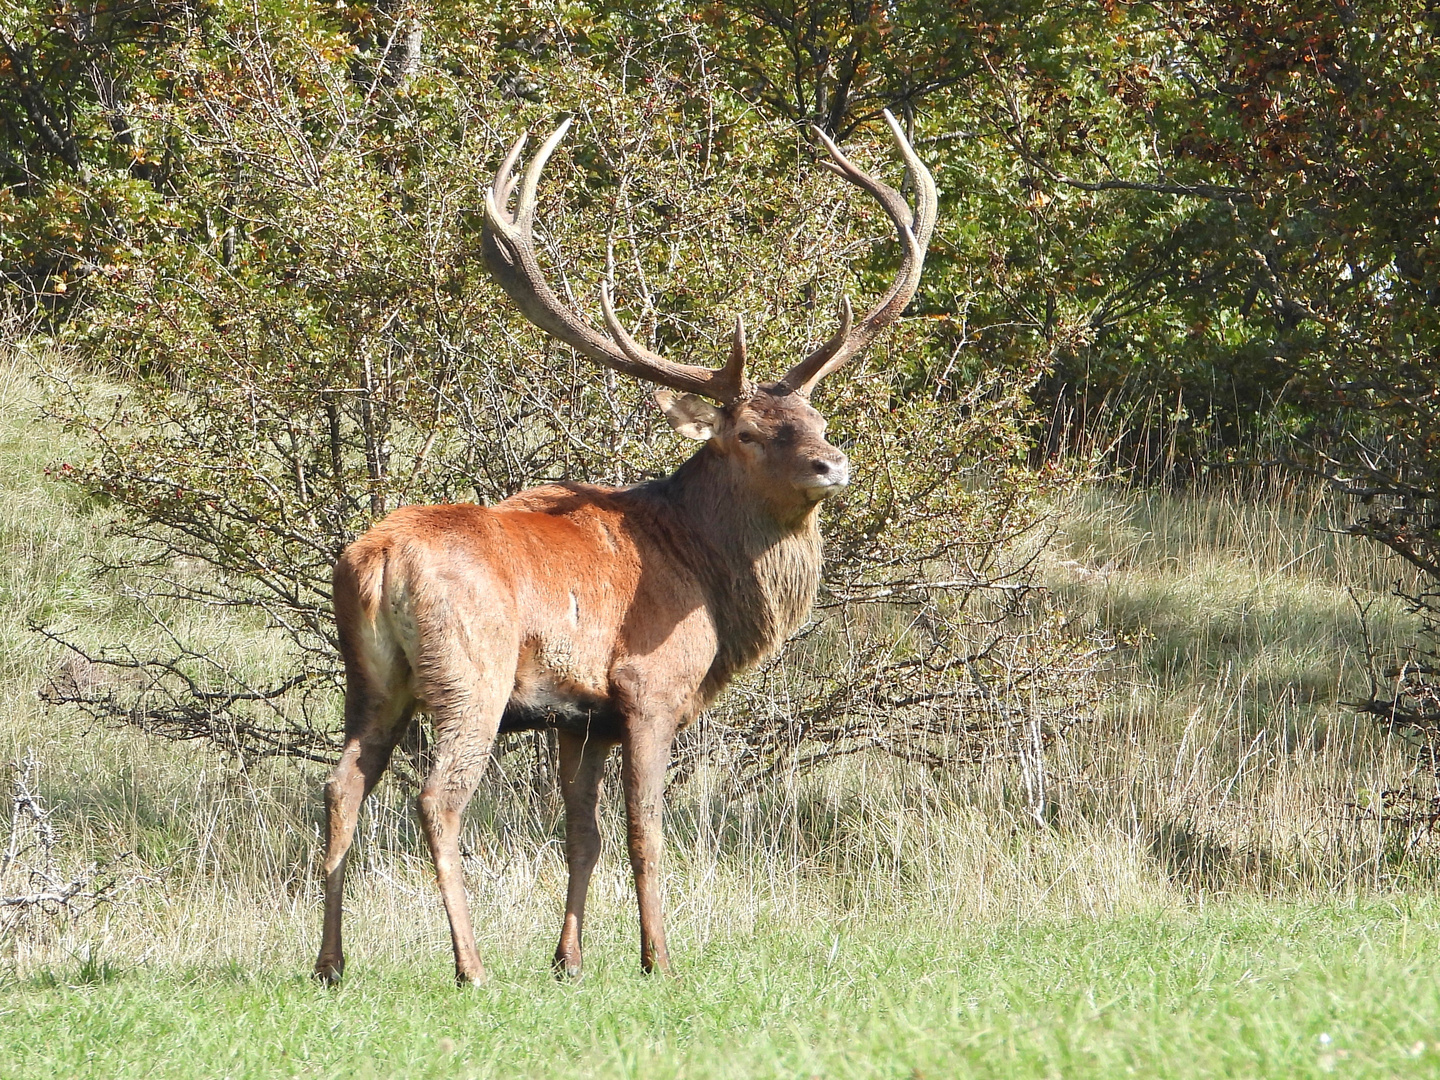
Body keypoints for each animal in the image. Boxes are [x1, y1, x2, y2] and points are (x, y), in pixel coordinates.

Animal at [313, 111, 936, 986]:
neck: (705, 570)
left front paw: (568, 960)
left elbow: (583, 836)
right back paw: (470, 965)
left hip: (372, 678)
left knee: (340, 787)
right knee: (436, 798)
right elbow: (645, 833)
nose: (831, 464)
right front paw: (657, 958)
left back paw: (330, 963)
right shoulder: (647, 688)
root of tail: (374, 561)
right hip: (470, 669)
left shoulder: (578, 717)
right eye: (748, 432)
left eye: (816, 417)